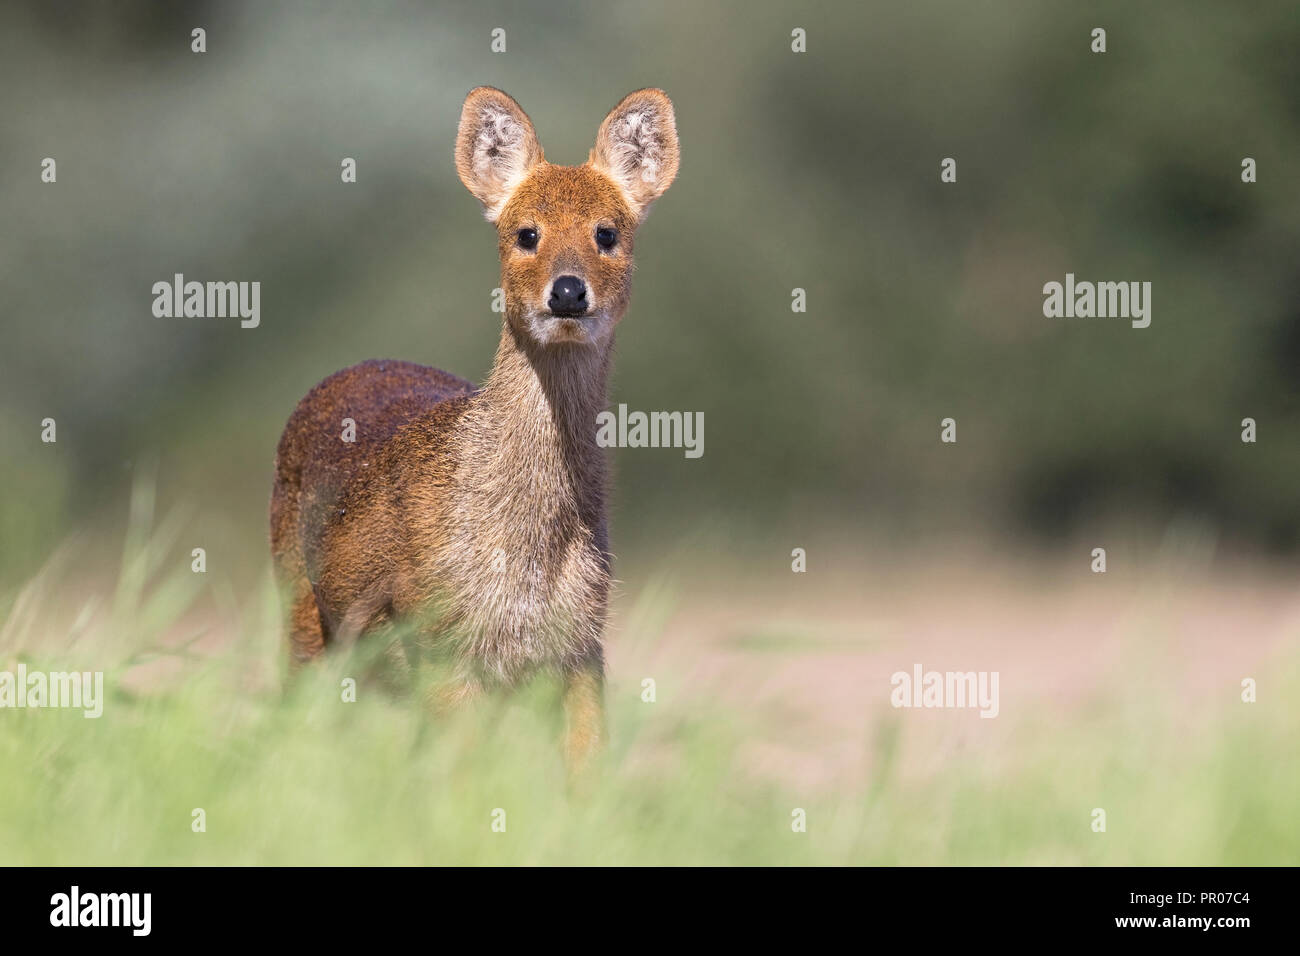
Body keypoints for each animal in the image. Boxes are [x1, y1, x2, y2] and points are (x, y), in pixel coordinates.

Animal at [269, 87, 679, 773]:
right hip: (299, 605)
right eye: (525, 233)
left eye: (608, 232)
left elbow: (586, 764)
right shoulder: (437, 637)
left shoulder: (580, 642)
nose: (568, 292)